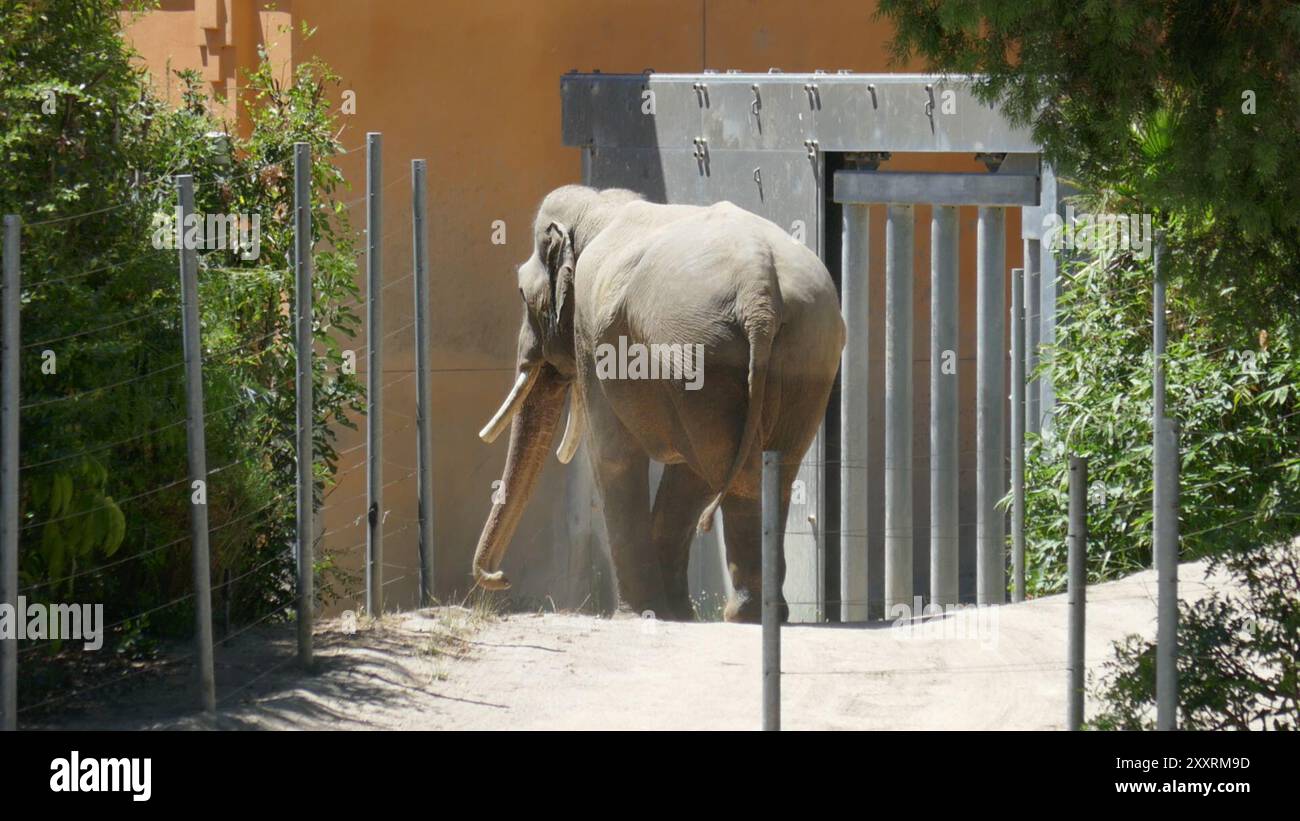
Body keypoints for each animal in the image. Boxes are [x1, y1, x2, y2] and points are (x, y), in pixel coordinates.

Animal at [471, 185, 845, 623]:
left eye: (522, 294)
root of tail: (760, 291)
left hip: (701, 352)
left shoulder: (593, 337)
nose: (500, 577)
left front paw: (640, 615)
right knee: (765, 467)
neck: (599, 206)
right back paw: (758, 614)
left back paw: (742, 615)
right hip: (805, 350)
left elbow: (612, 453)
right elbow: (683, 474)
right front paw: (676, 615)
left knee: (730, 468)